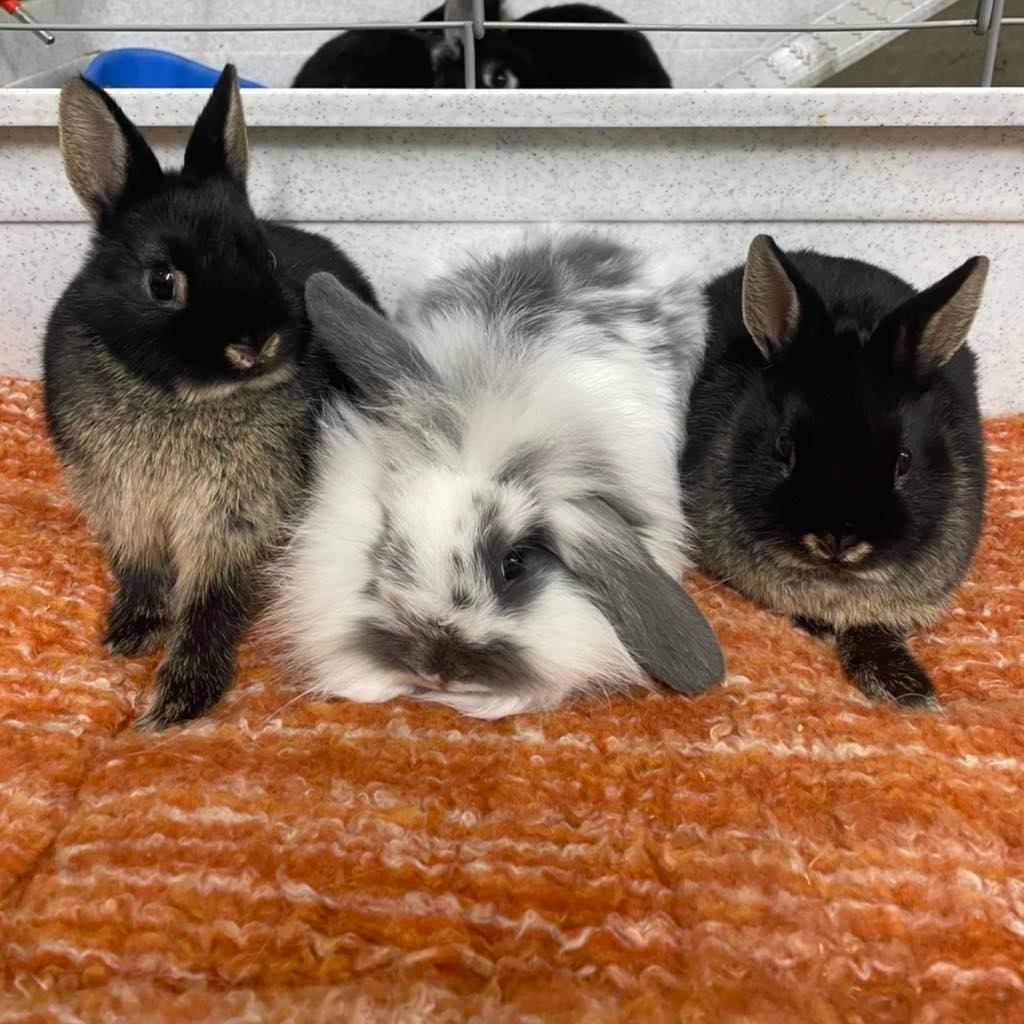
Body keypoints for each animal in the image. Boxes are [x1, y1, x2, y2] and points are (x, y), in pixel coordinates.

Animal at [44, 65, 380, 730]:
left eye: (267, 256)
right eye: (162, 281)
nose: (254, 343)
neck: (185, 402)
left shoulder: (236, 521)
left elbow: (210, 603)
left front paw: (179, 696)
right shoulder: (121, 506)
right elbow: (143, 572)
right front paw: (129, 633)